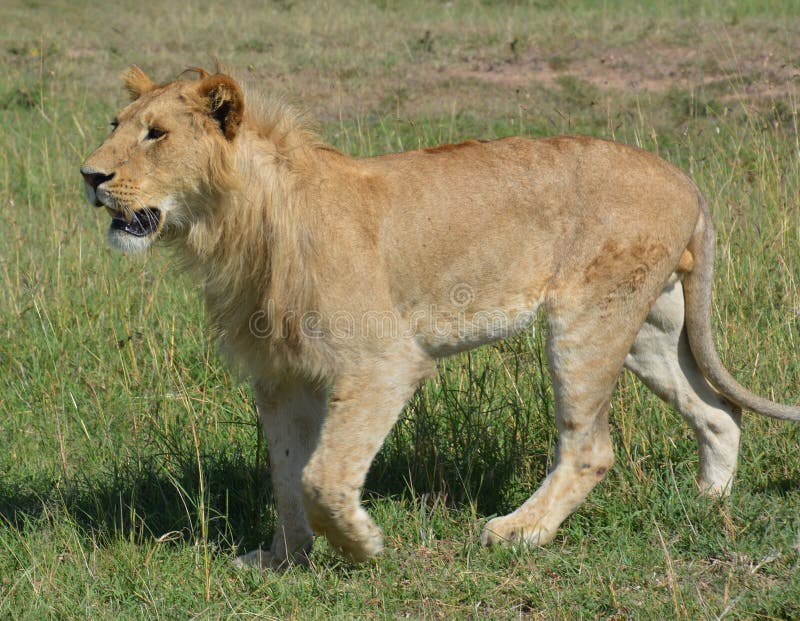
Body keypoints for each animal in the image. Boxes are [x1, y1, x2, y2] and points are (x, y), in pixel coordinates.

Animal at [80, 66, 800, 569]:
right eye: (115, 122)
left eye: (156, 134)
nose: (89, 175)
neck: (233, 225)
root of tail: (684, 178)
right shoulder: (281, 377)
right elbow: (285, 474)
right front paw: (285, 559)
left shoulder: (381, 362)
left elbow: (322, 475)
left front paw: (362, 546)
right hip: (649, 328)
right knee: (718, 411)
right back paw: (708, 502)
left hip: (585, 321)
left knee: (592, 446)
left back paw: (519, 532)